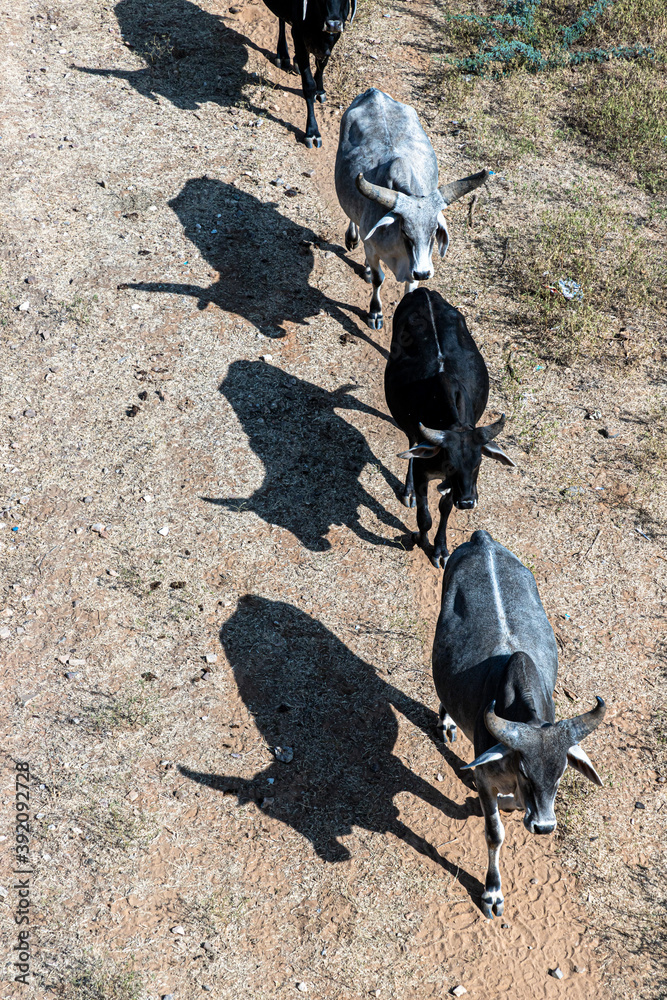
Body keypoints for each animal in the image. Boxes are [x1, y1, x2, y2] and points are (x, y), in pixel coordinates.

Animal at [264, 0, 355, 148]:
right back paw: (282, 55)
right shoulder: (298, 36)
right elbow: (308, 85)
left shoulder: (334, 37)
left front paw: (320, 90)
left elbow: (321, 65)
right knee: (281, 18)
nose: (333, 24)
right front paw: (312, 132)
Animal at [335, 88, 489, 329]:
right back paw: (352, 239)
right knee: (354, 220)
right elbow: (378, 279)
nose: (424, 273)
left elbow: (410, 289)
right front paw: (375, 313)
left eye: (434, 232)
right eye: (406, 232)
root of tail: (374, 92)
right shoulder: (373, 248)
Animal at [385, 288, 514, 568]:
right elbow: (424, 517)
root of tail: (424, 291)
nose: (467, 502)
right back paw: (407, 490)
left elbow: (444, 509)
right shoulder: (425, 473)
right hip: (410, 429)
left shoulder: (454, 486)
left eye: (478, 463)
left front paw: (440, 549)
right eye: (450, 463)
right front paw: (419, 538)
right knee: (411, 443)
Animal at [432, 529, 606, 919]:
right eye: (526, 771)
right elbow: (494, 833)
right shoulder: (486, 780)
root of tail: (481, 539)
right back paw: (447, 721)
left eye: (561, 773)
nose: (544, 827)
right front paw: (492, 892)